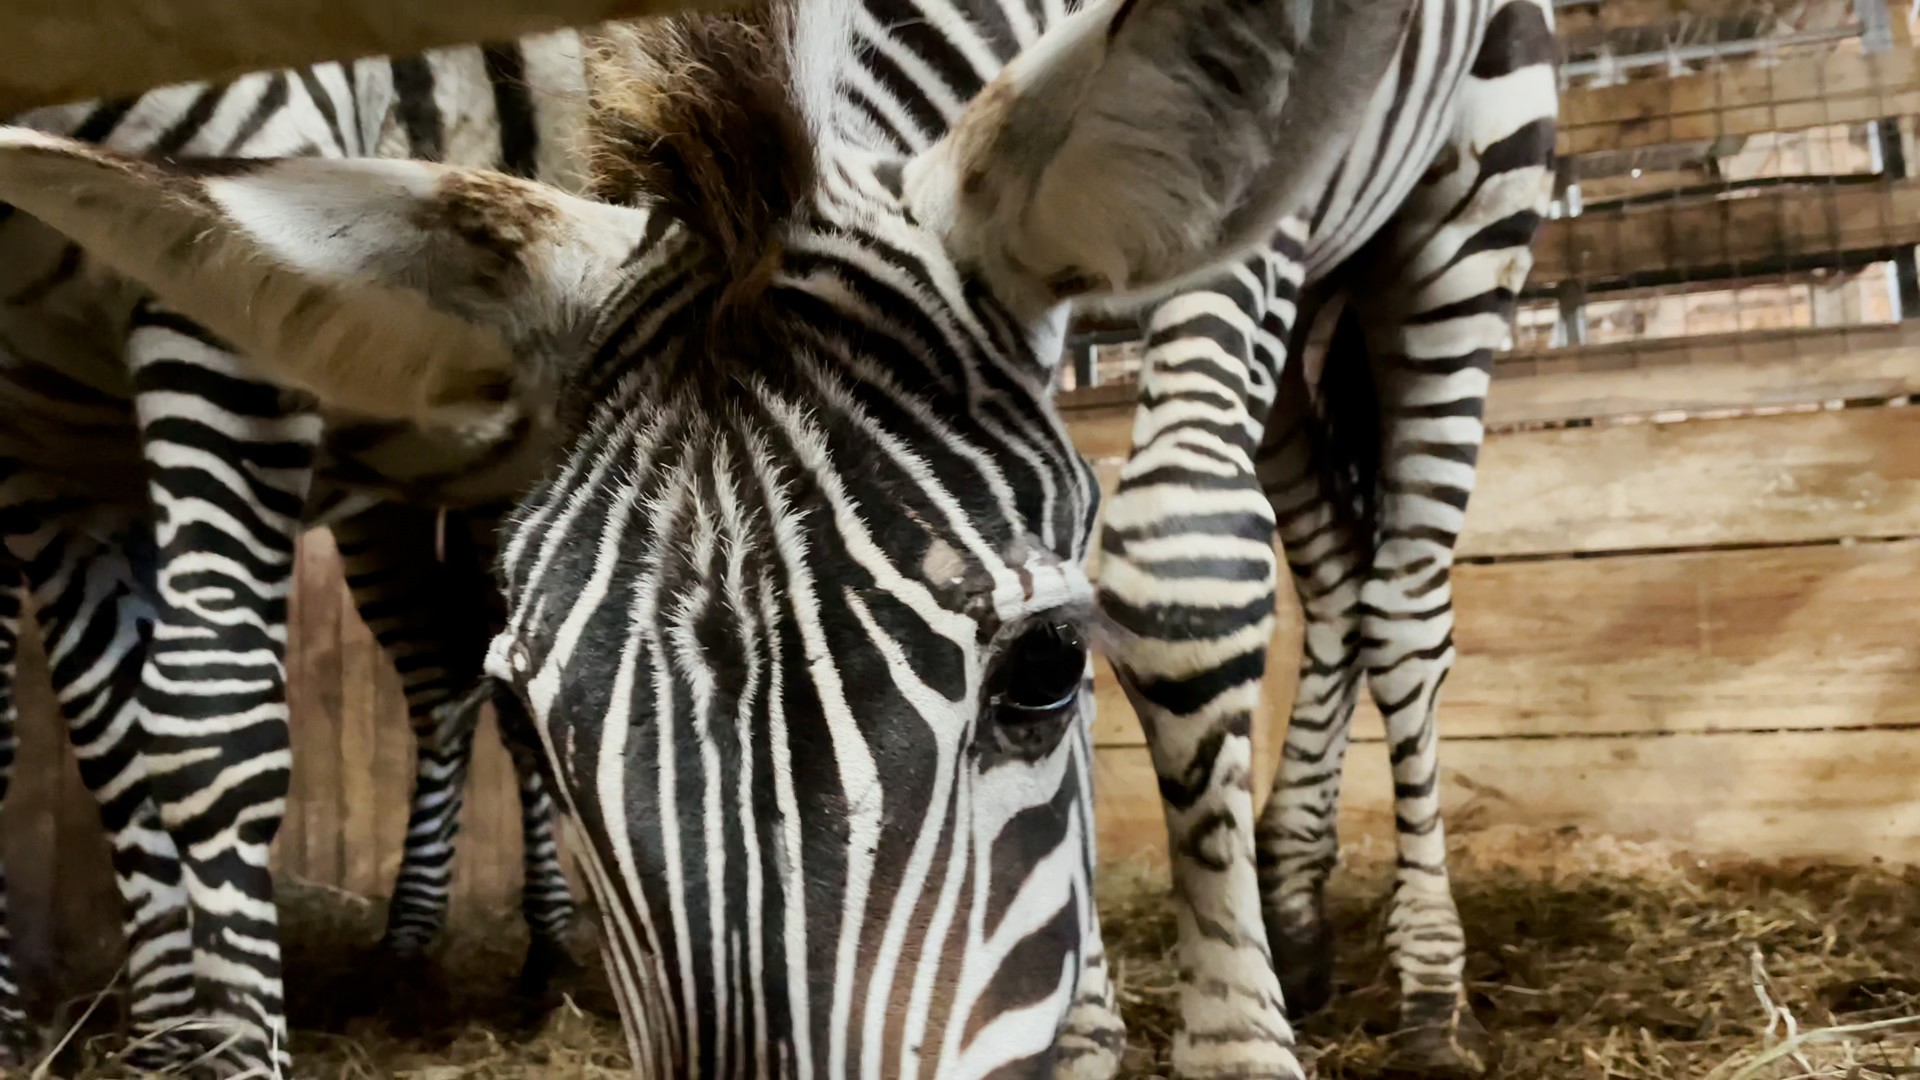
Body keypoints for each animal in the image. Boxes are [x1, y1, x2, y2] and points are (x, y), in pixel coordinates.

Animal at [1093, 0, 1560, 1074]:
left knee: (1404, 611)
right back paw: (1294, 907)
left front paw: (1232, 1040)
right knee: (1343, 573)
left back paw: (1431, 991)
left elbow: (1176, 553)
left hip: (1457, 230)